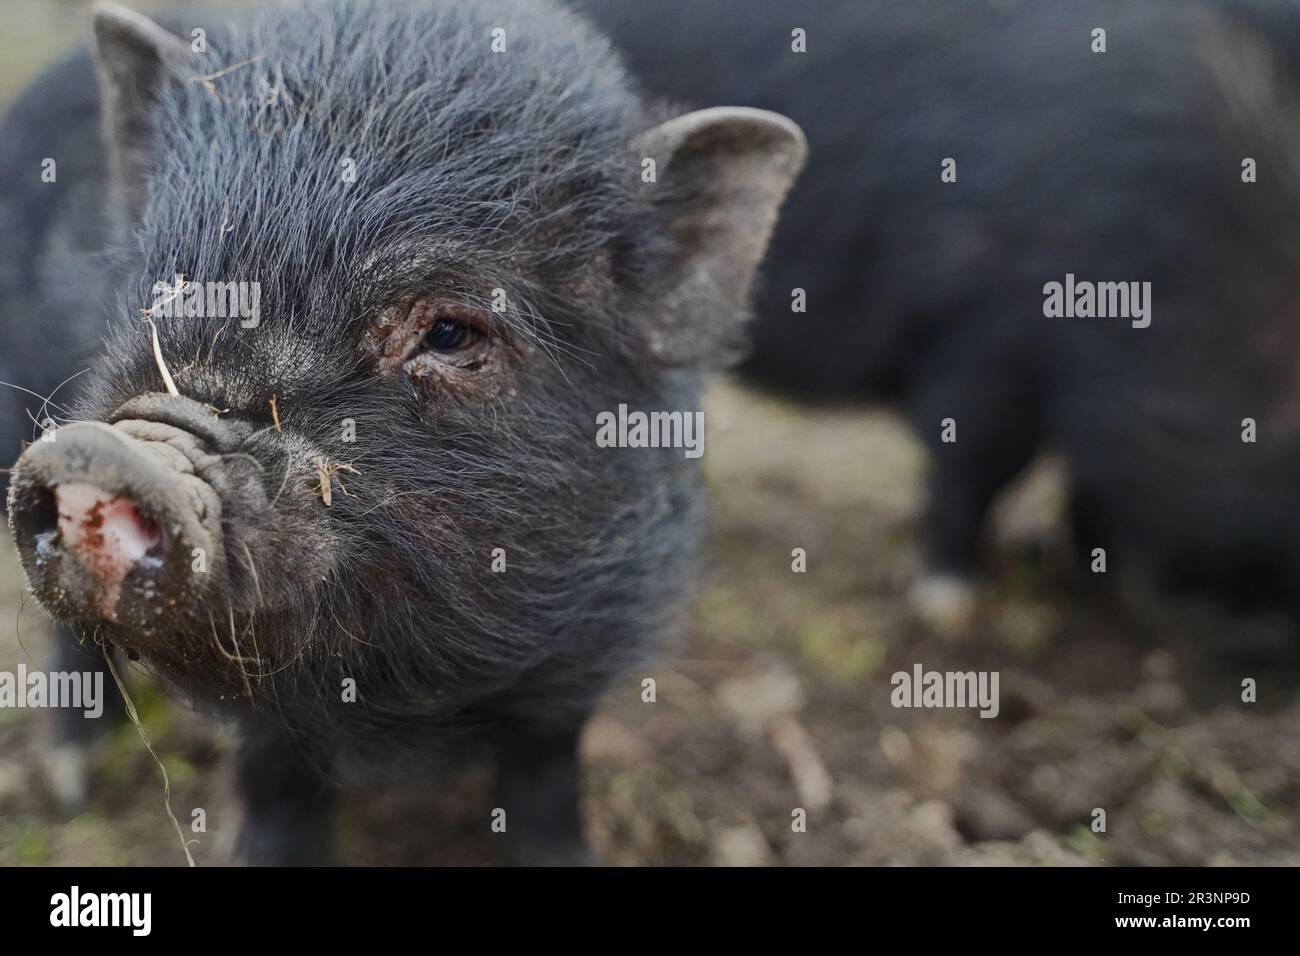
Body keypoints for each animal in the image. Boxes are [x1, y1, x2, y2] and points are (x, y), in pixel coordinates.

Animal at [0, 0, 805, 864]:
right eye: (155, 287)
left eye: (450, 333)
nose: (111, 449)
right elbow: (276, 777)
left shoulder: (599, 631)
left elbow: (547, 765)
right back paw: (71, 782)